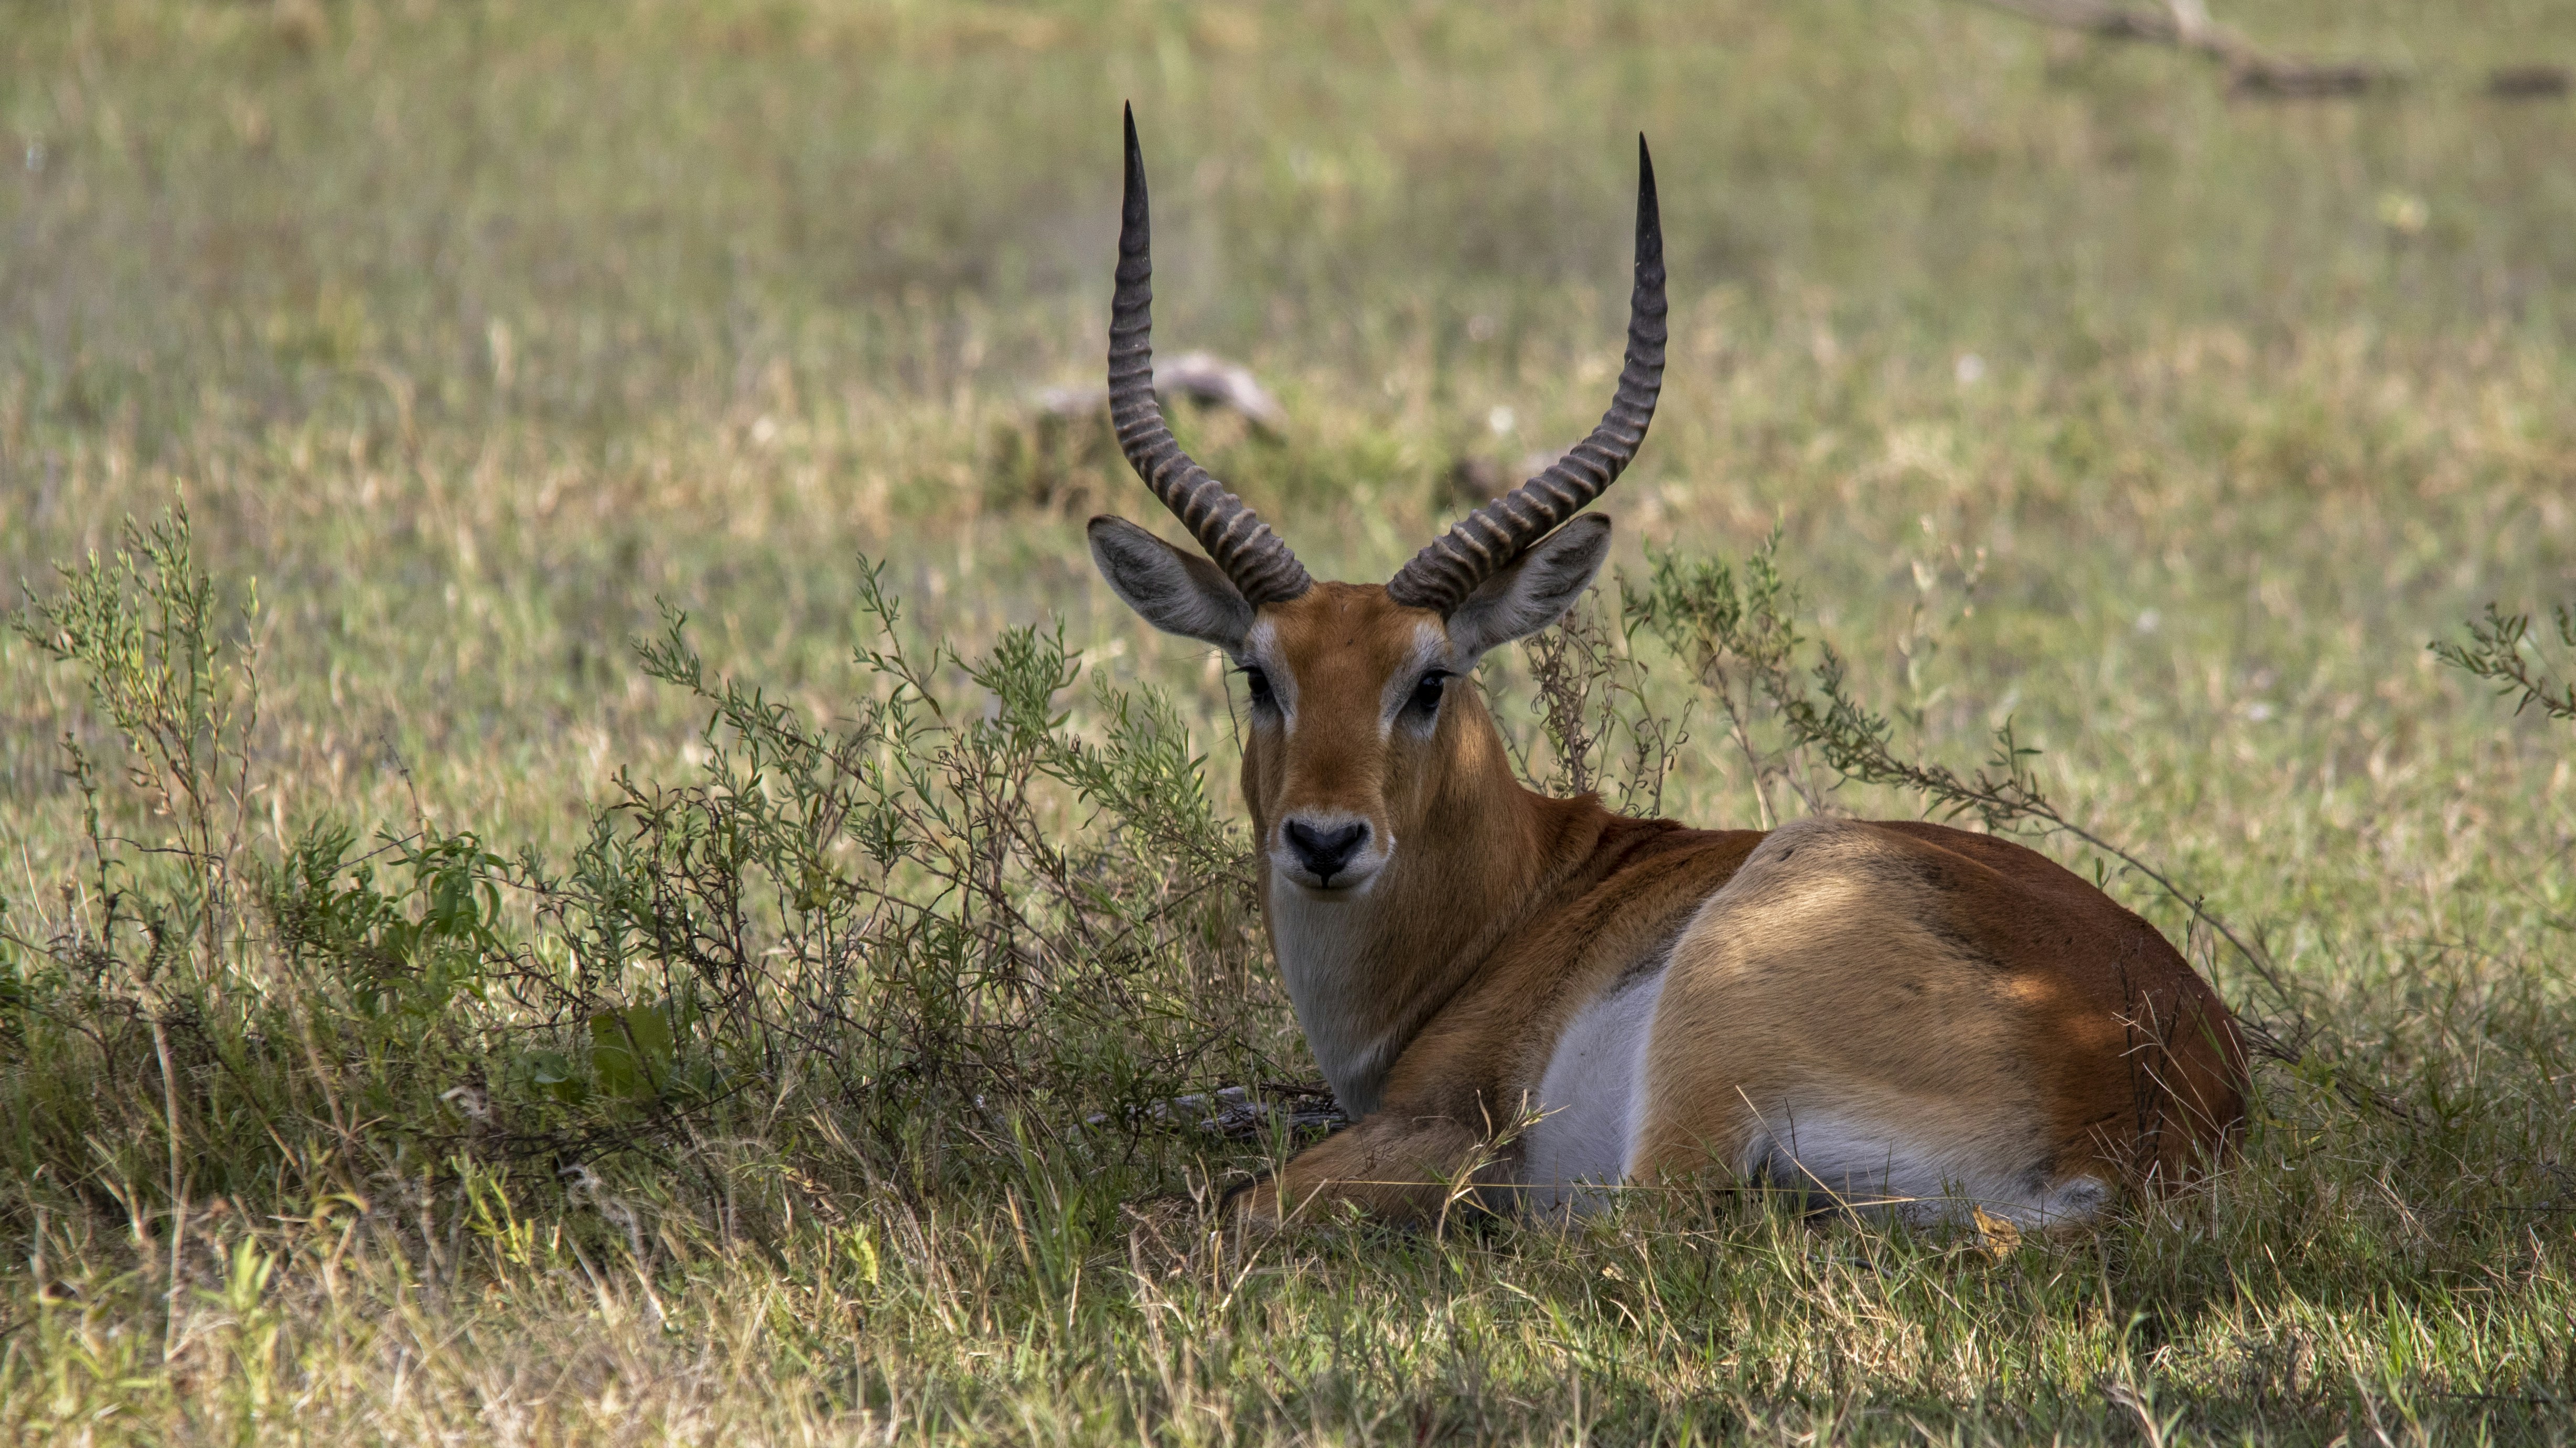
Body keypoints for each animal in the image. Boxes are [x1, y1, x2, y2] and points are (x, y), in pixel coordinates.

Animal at [1087, 109, 2248, 1224]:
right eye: (1258, 675)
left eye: (1427, 680)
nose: (1324, 842)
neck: (1520, 906)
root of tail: (2134, 1129)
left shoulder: (1449, 1128)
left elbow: (1209, 1211)